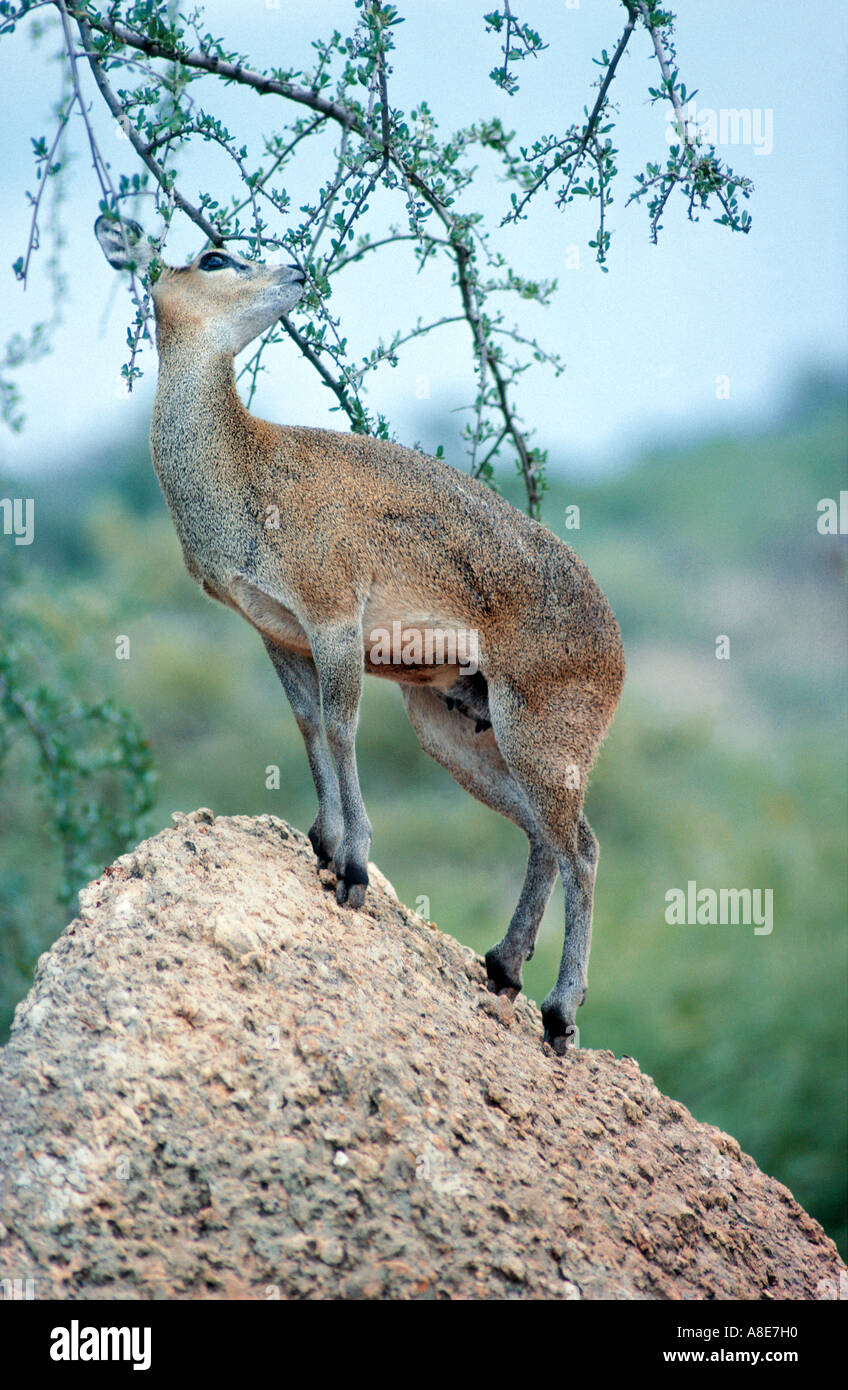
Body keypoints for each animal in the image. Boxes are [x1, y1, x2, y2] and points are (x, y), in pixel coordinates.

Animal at [94, 214, 625, 1051]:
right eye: (214, 256)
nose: (297, 270)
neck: (246, 468)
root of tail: (616, 646)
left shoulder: (335, 619)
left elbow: (341, 728)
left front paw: (351, 868)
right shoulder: (278, 632)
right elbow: (310, 726)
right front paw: (321, 841)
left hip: (542, 734)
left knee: (585, 848)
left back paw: (560, 1013)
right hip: (453, 729)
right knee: (550, 837)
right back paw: (503, 967)